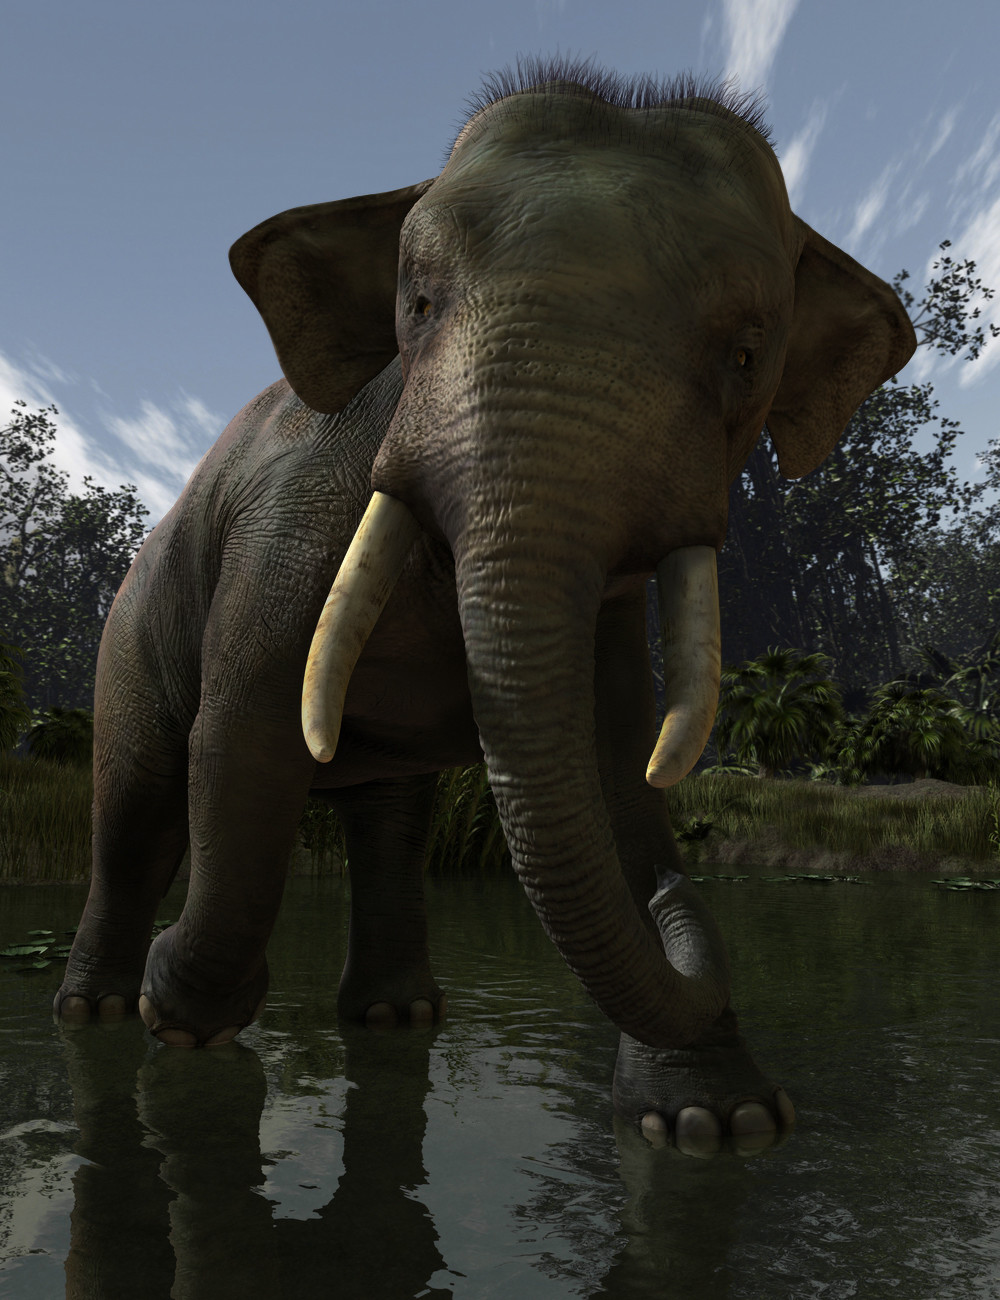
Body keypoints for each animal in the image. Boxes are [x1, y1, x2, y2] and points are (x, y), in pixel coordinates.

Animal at [54, 57, 916, 1149]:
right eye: (418, 304)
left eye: (747, 354)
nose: (680, 891)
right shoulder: (287, 524)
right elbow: (245, 729)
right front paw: (180, 1013)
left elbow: (610, 768)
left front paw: (719, 1123)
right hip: (133, 625)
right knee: (136, 800)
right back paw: (97, 1008)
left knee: (389, 820)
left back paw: (394, 1015)